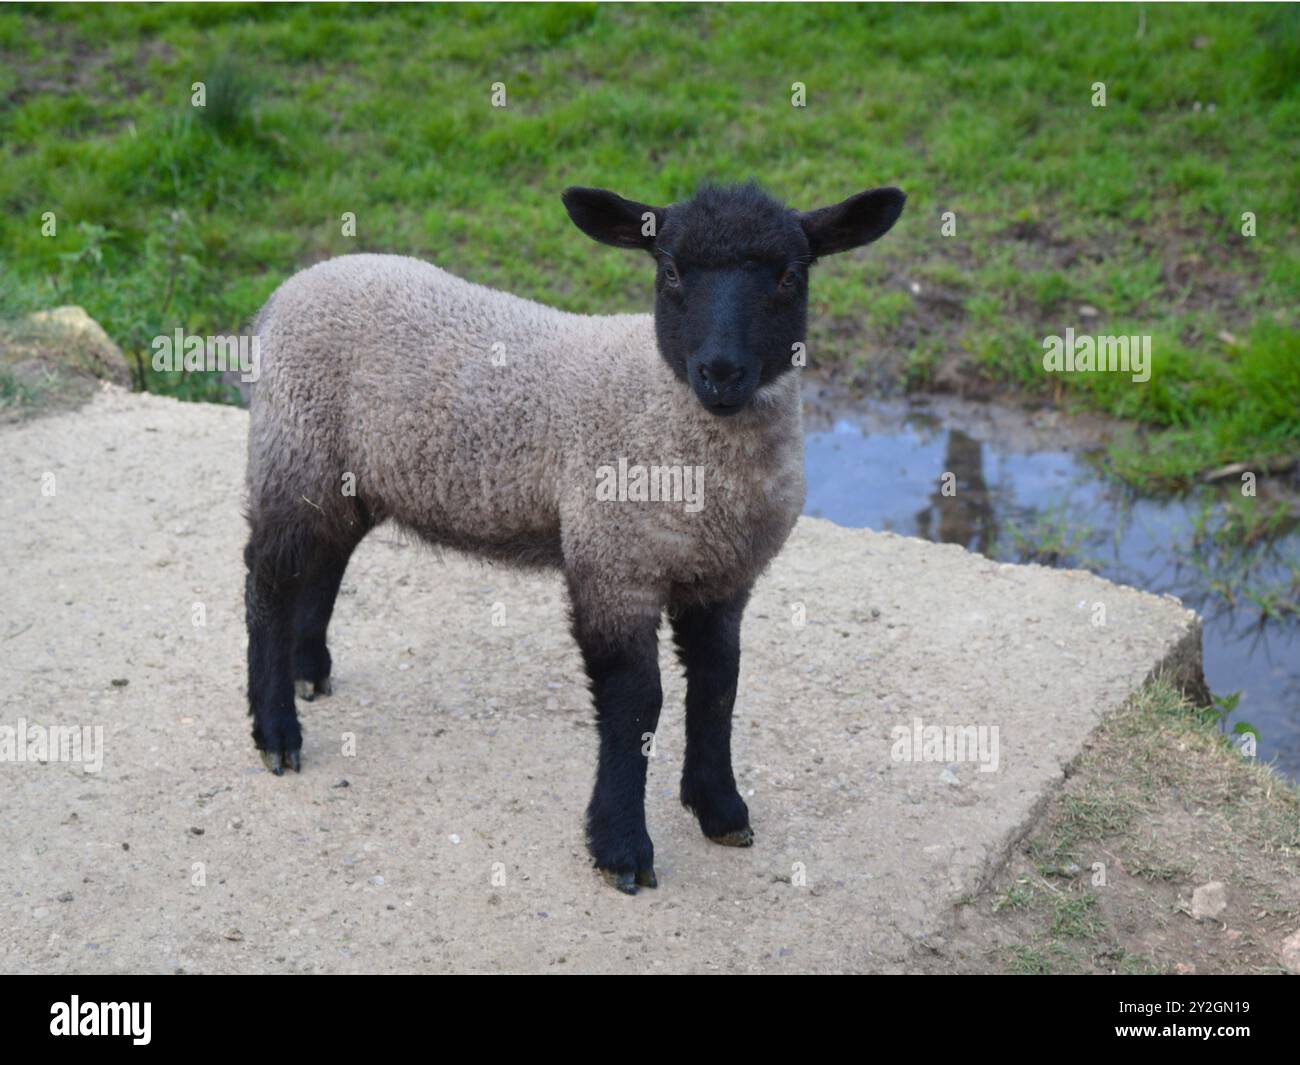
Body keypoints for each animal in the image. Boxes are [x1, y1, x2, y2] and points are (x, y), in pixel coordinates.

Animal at [244, 180, 905, 893]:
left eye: (789, 276)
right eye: (671, 272)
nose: (721, 372)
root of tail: (299, 284)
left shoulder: (723, 577)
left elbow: (719, 683)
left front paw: (720, 808)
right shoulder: (612, 563)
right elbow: (636, 702)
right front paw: (621, 847)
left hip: (348, 475)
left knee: (326, 558)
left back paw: (310, 668)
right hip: (293, 448)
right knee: (268, 583)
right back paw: (276, 729)